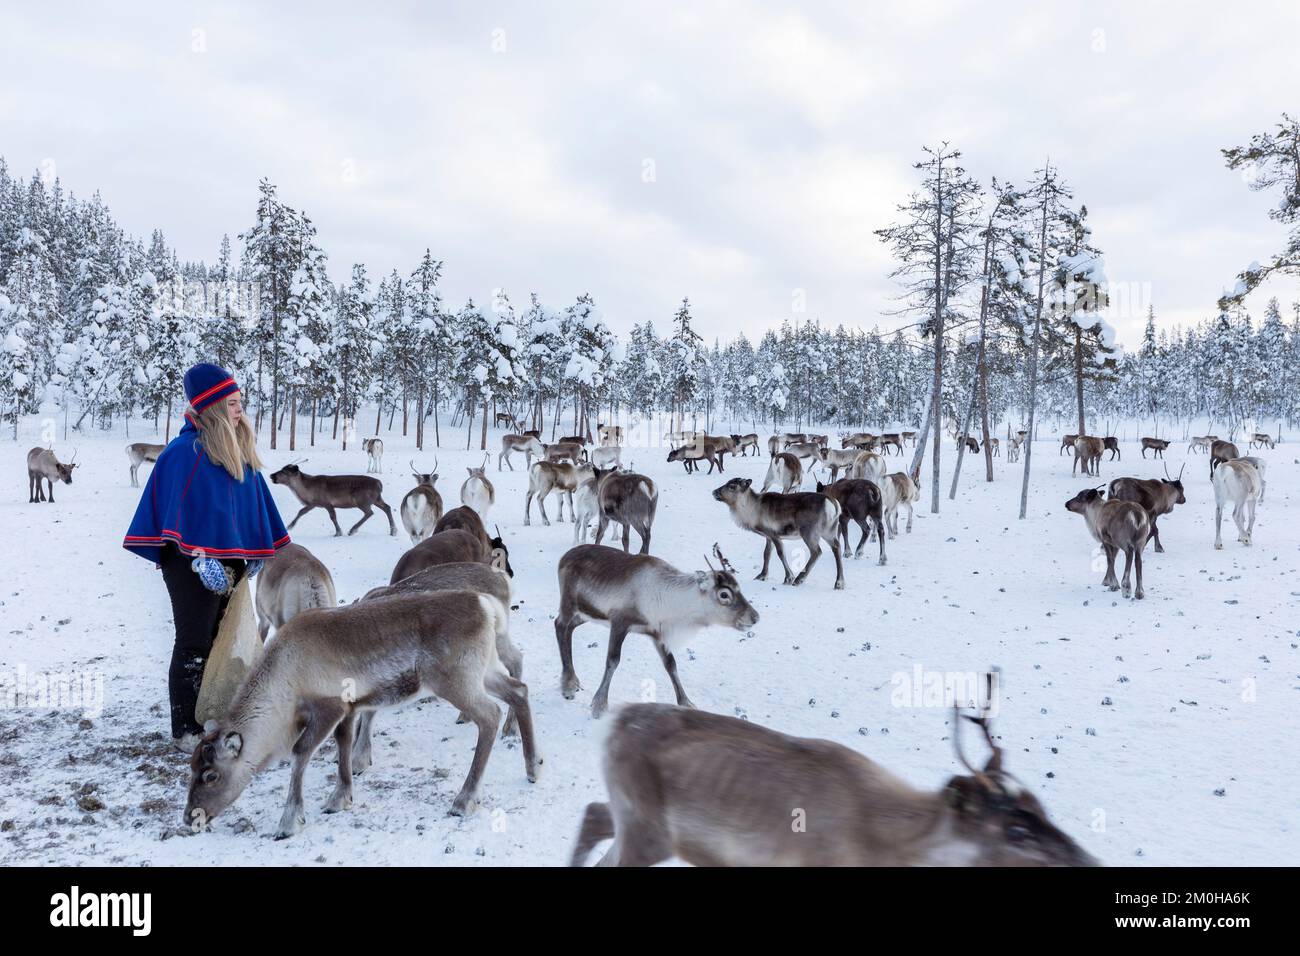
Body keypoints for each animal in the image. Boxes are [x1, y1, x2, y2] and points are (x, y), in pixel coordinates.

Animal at [184, 590, 540, 838]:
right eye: (192, 767)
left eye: (211, 775)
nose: (189, 817)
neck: (284, 691)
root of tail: (487, 607)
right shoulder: (351, 708)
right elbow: (343, 745)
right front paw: (340, 797)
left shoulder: (329, 705)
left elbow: (300, 752)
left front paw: (289, 822)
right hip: (485, 670)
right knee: (519, 691)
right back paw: (533, 767)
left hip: (456, 680)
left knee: (490, 715)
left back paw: (464, 799)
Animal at [554, 543, 759, 718]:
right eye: (724, 594)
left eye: (739, 589)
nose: (754, 617)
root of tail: (564, 556)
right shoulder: (619, 621)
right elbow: (612, 661)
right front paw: (599, 705)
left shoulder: (657, 633)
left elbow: (671, 664)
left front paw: (686, 702)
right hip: (569, 604)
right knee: (560, 625)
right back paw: (568, 685)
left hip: (586, 614)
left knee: (569, 628)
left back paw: (572, 680)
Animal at [570, 701, 1098, 867]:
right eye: (1015, 830)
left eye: (1041, 806)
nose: (1087, 860)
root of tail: (616, 719)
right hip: (649, 832)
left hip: (633, 817)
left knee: (595, 814)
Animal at [712, 477, 845, 589]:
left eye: (732, 486)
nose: (714, 492)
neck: (752, 511)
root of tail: (834, 505)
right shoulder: (768, 536)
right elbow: (766, 554)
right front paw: (762, 575)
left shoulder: (774, 534)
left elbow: (781, 553)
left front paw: (788, 577)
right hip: (829, 530)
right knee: (837, 547)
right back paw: (839, 582)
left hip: (809, 531)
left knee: (817, 551)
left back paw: (799, 579)